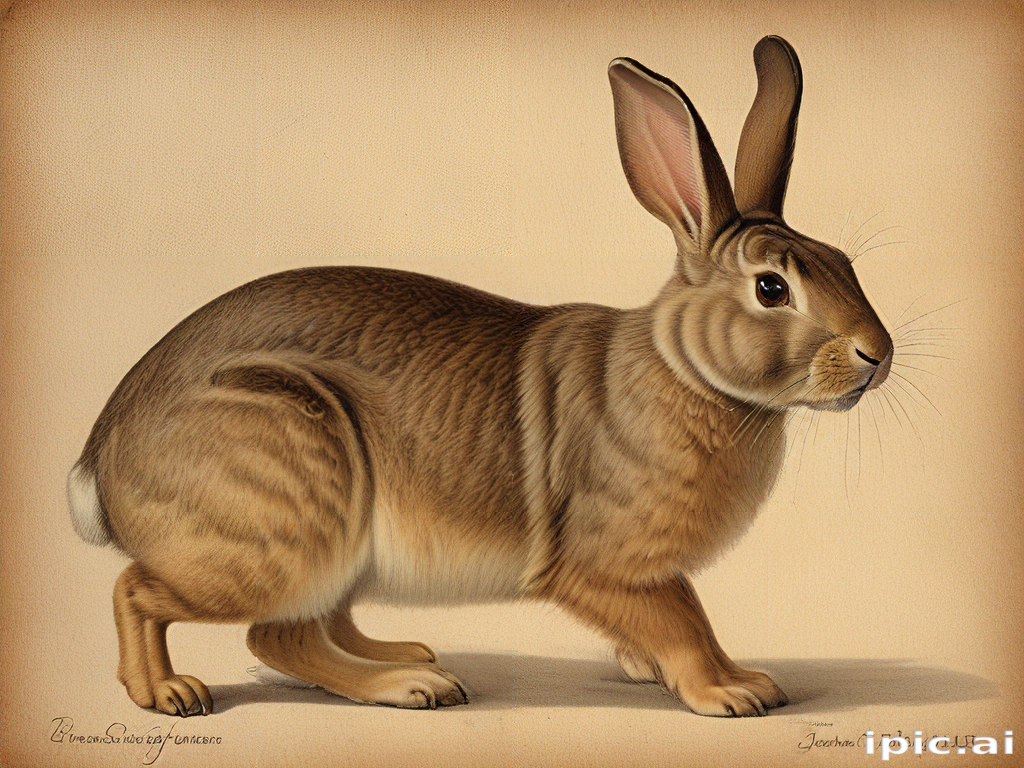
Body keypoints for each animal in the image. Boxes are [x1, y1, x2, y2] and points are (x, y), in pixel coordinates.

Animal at [67, 36, 892, 718]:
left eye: (843, 262)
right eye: (772, 289)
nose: (877, 353)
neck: (687, 368)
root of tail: (100, 461)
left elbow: (675, 623)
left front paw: (690, 673)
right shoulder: (604, 565)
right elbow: (684, 618)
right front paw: (733, 692)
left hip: (331, 539)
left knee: (299, 628)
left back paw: (403, 655)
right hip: (286, 504)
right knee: (169, 600)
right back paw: (224, 693)